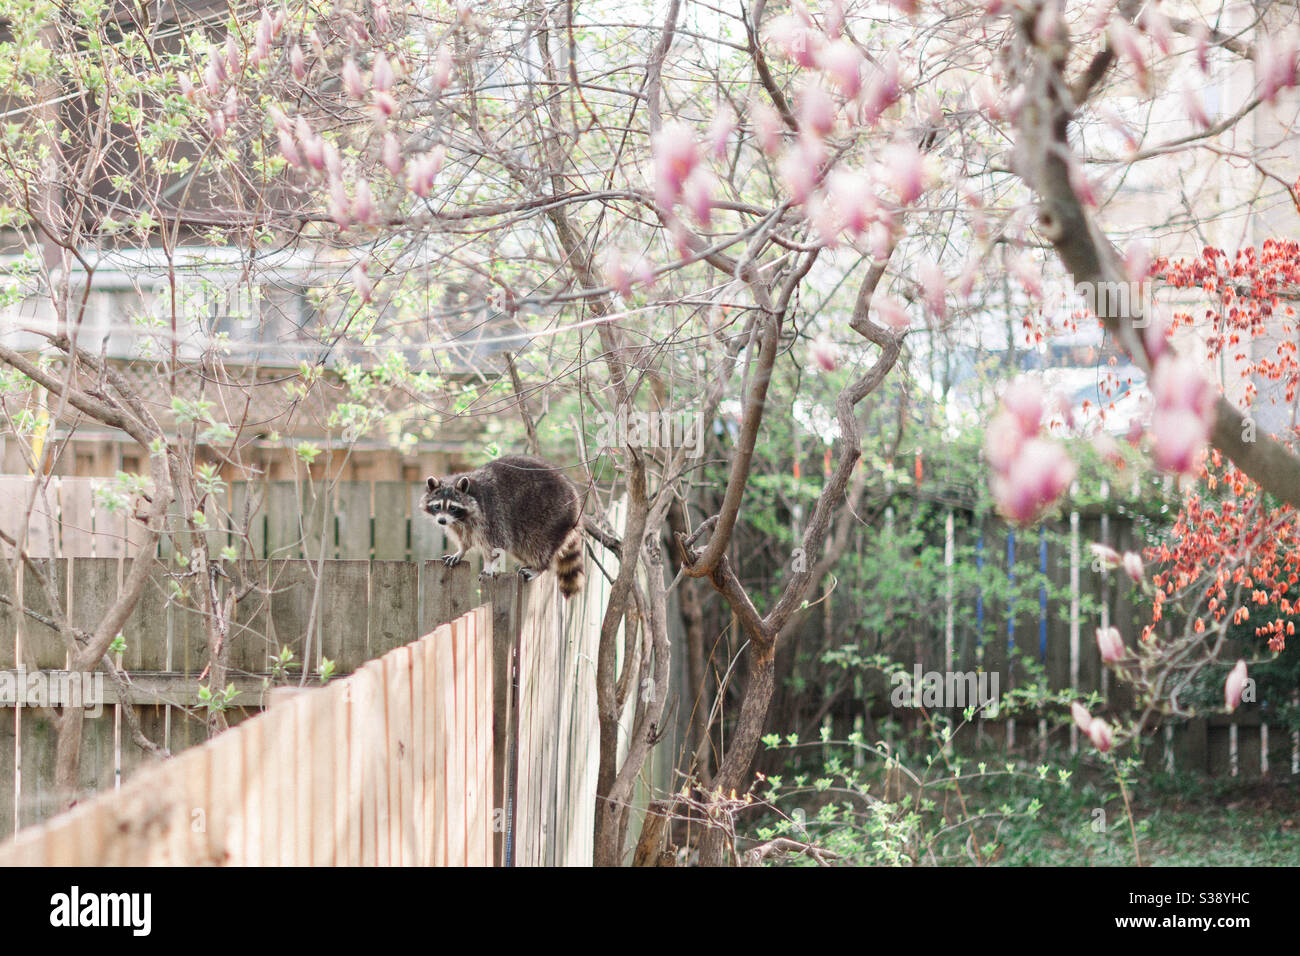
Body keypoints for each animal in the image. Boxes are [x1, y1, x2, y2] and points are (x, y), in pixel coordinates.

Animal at [420, 454, 585, 598]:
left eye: (453, 507)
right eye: (437, 506)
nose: (441, 521)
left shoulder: (492, 516)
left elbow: (495, 545)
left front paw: (489, 566)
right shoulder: (458, 523)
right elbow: (464, 538)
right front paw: (461, 550)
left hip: (551, 517)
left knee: (538, 545)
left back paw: (540, 567)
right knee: (522, 546)